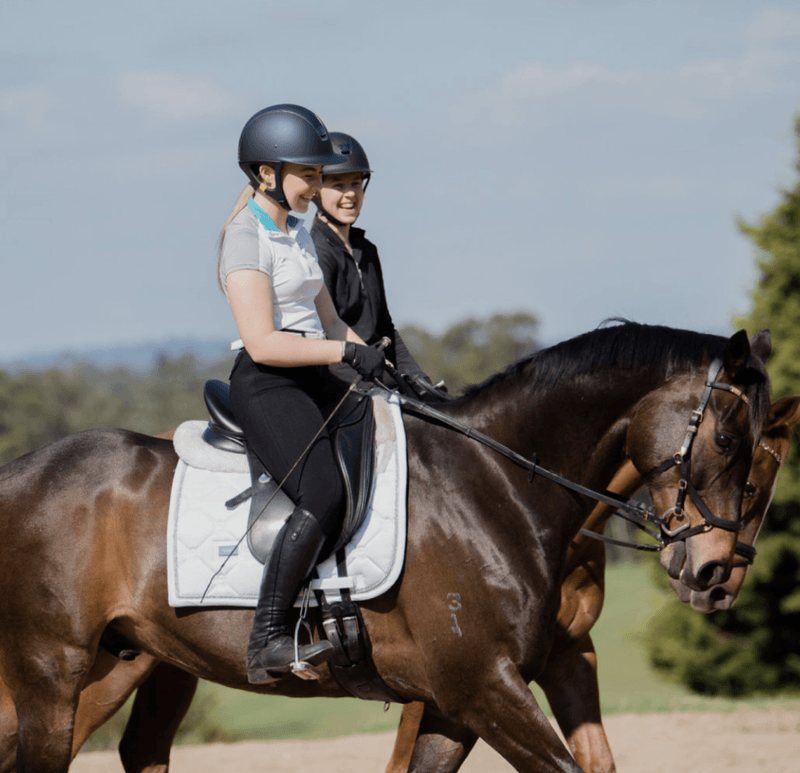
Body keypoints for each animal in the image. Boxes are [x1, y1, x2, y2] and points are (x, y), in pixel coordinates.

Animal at [0, 322, 772, 773]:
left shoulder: (460, 702)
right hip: (57, 674)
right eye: (727, 439)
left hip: (137, 659)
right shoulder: (485, 686)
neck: (494, 481)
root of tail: (18, 471)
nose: (713, 574)